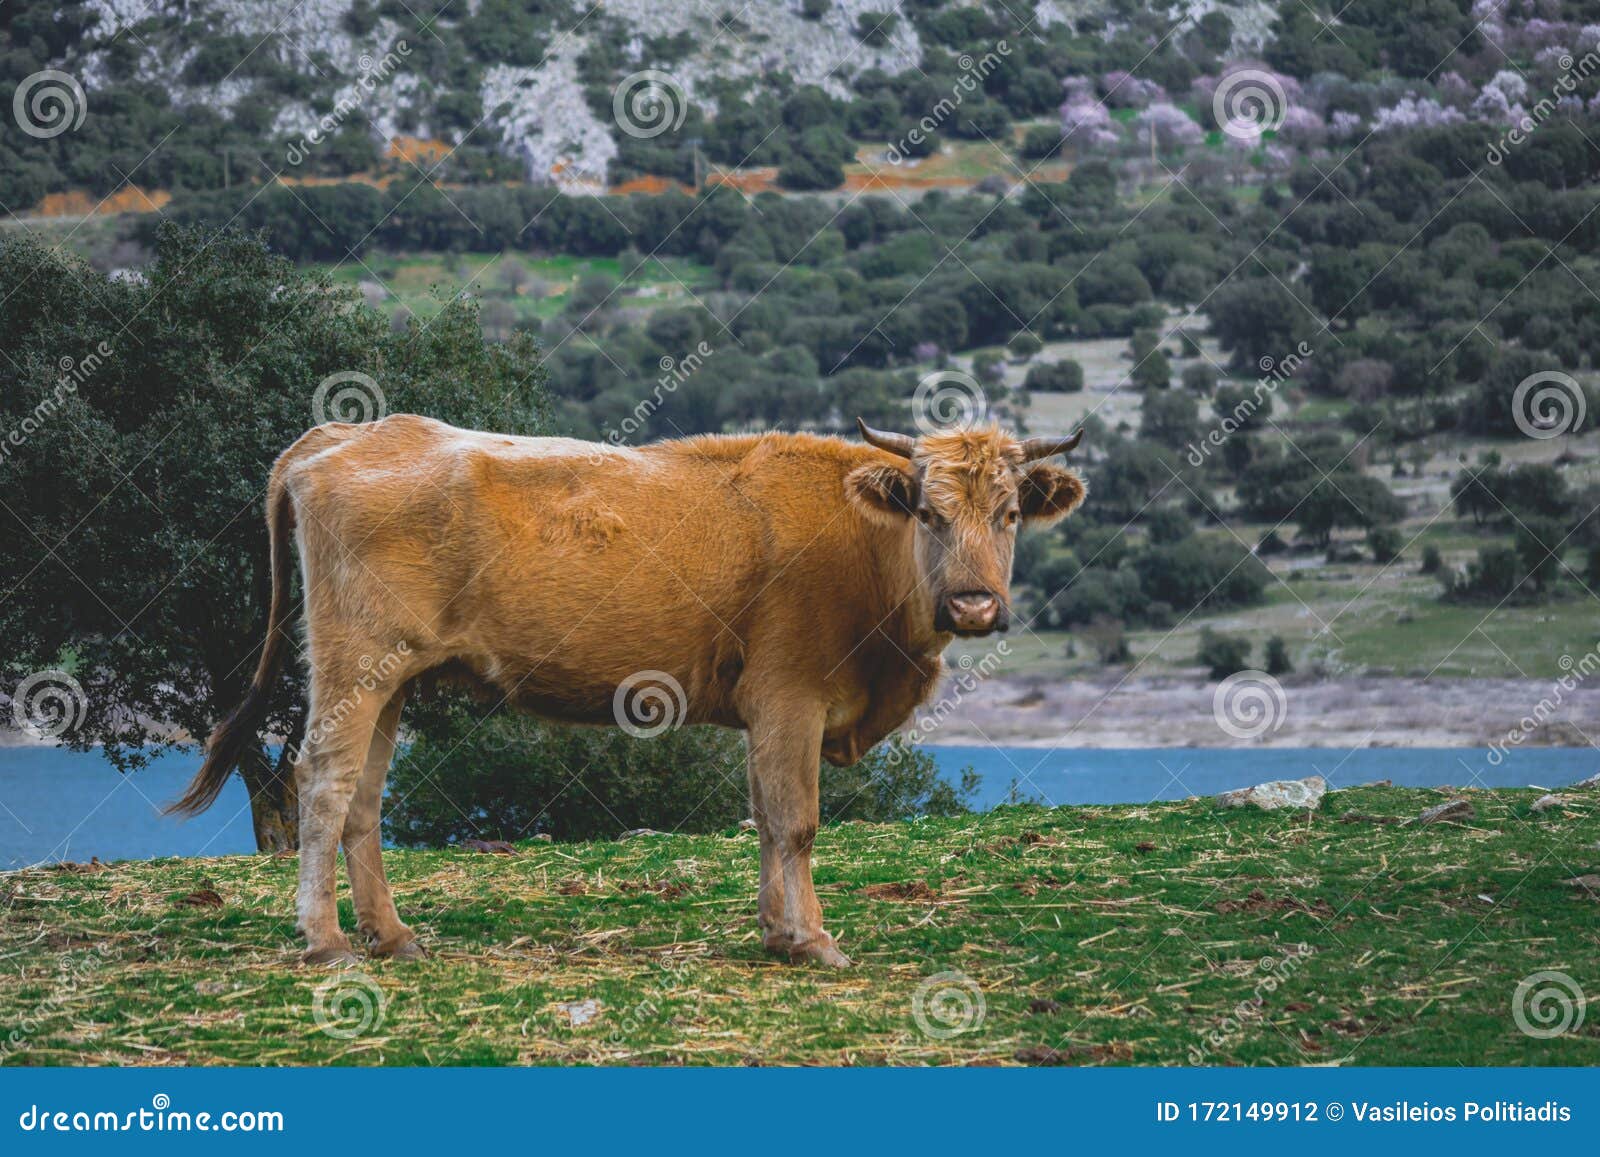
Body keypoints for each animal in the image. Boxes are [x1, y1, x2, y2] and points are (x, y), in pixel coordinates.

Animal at [170, 414, 1087, 967]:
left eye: (1009, 513)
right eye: (929, 513)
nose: (974, 604)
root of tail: (352, 430)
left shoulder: (764, 711)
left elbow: (765, 819)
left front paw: (774, 931)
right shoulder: (790, 696)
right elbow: (796, 821)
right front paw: (811, 939)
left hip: (391, 677)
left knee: (362, 795)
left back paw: (391, 935)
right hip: (353, 663)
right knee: (322, 781)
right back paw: (325, 940)